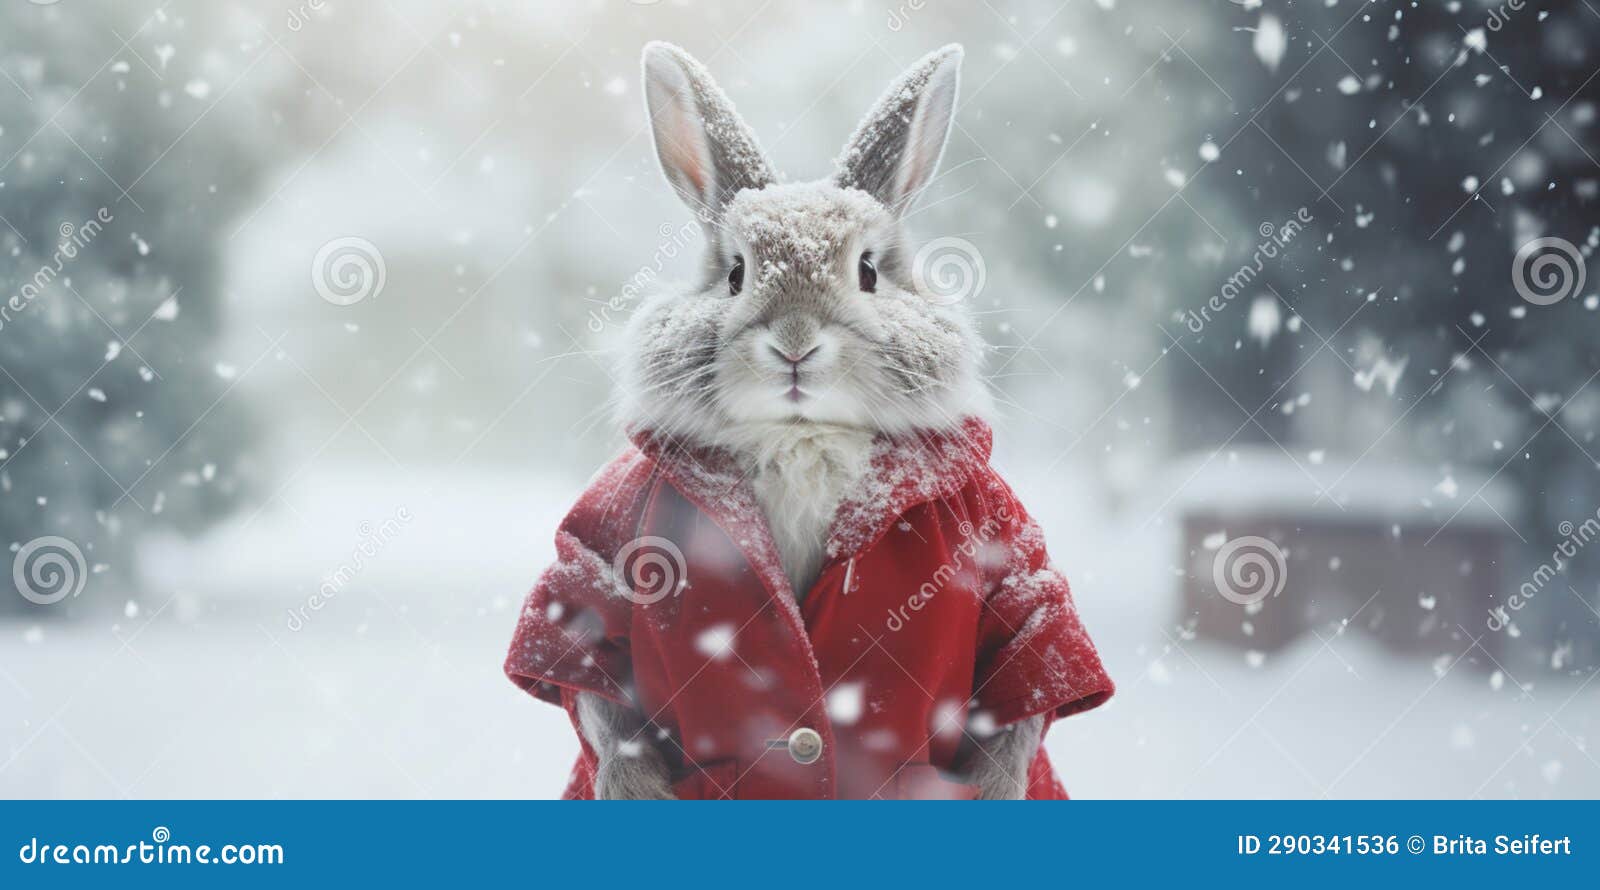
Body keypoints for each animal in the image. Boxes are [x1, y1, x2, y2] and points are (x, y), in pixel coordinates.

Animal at [572, 41, 1047, 801]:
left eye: (869, 273)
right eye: (736, 275)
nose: (795, 343)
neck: (799, 437)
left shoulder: (1014, 574)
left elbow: (1026, 673)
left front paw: (997, 792)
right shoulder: (596, 569)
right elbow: (596, 688)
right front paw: (633, 789)